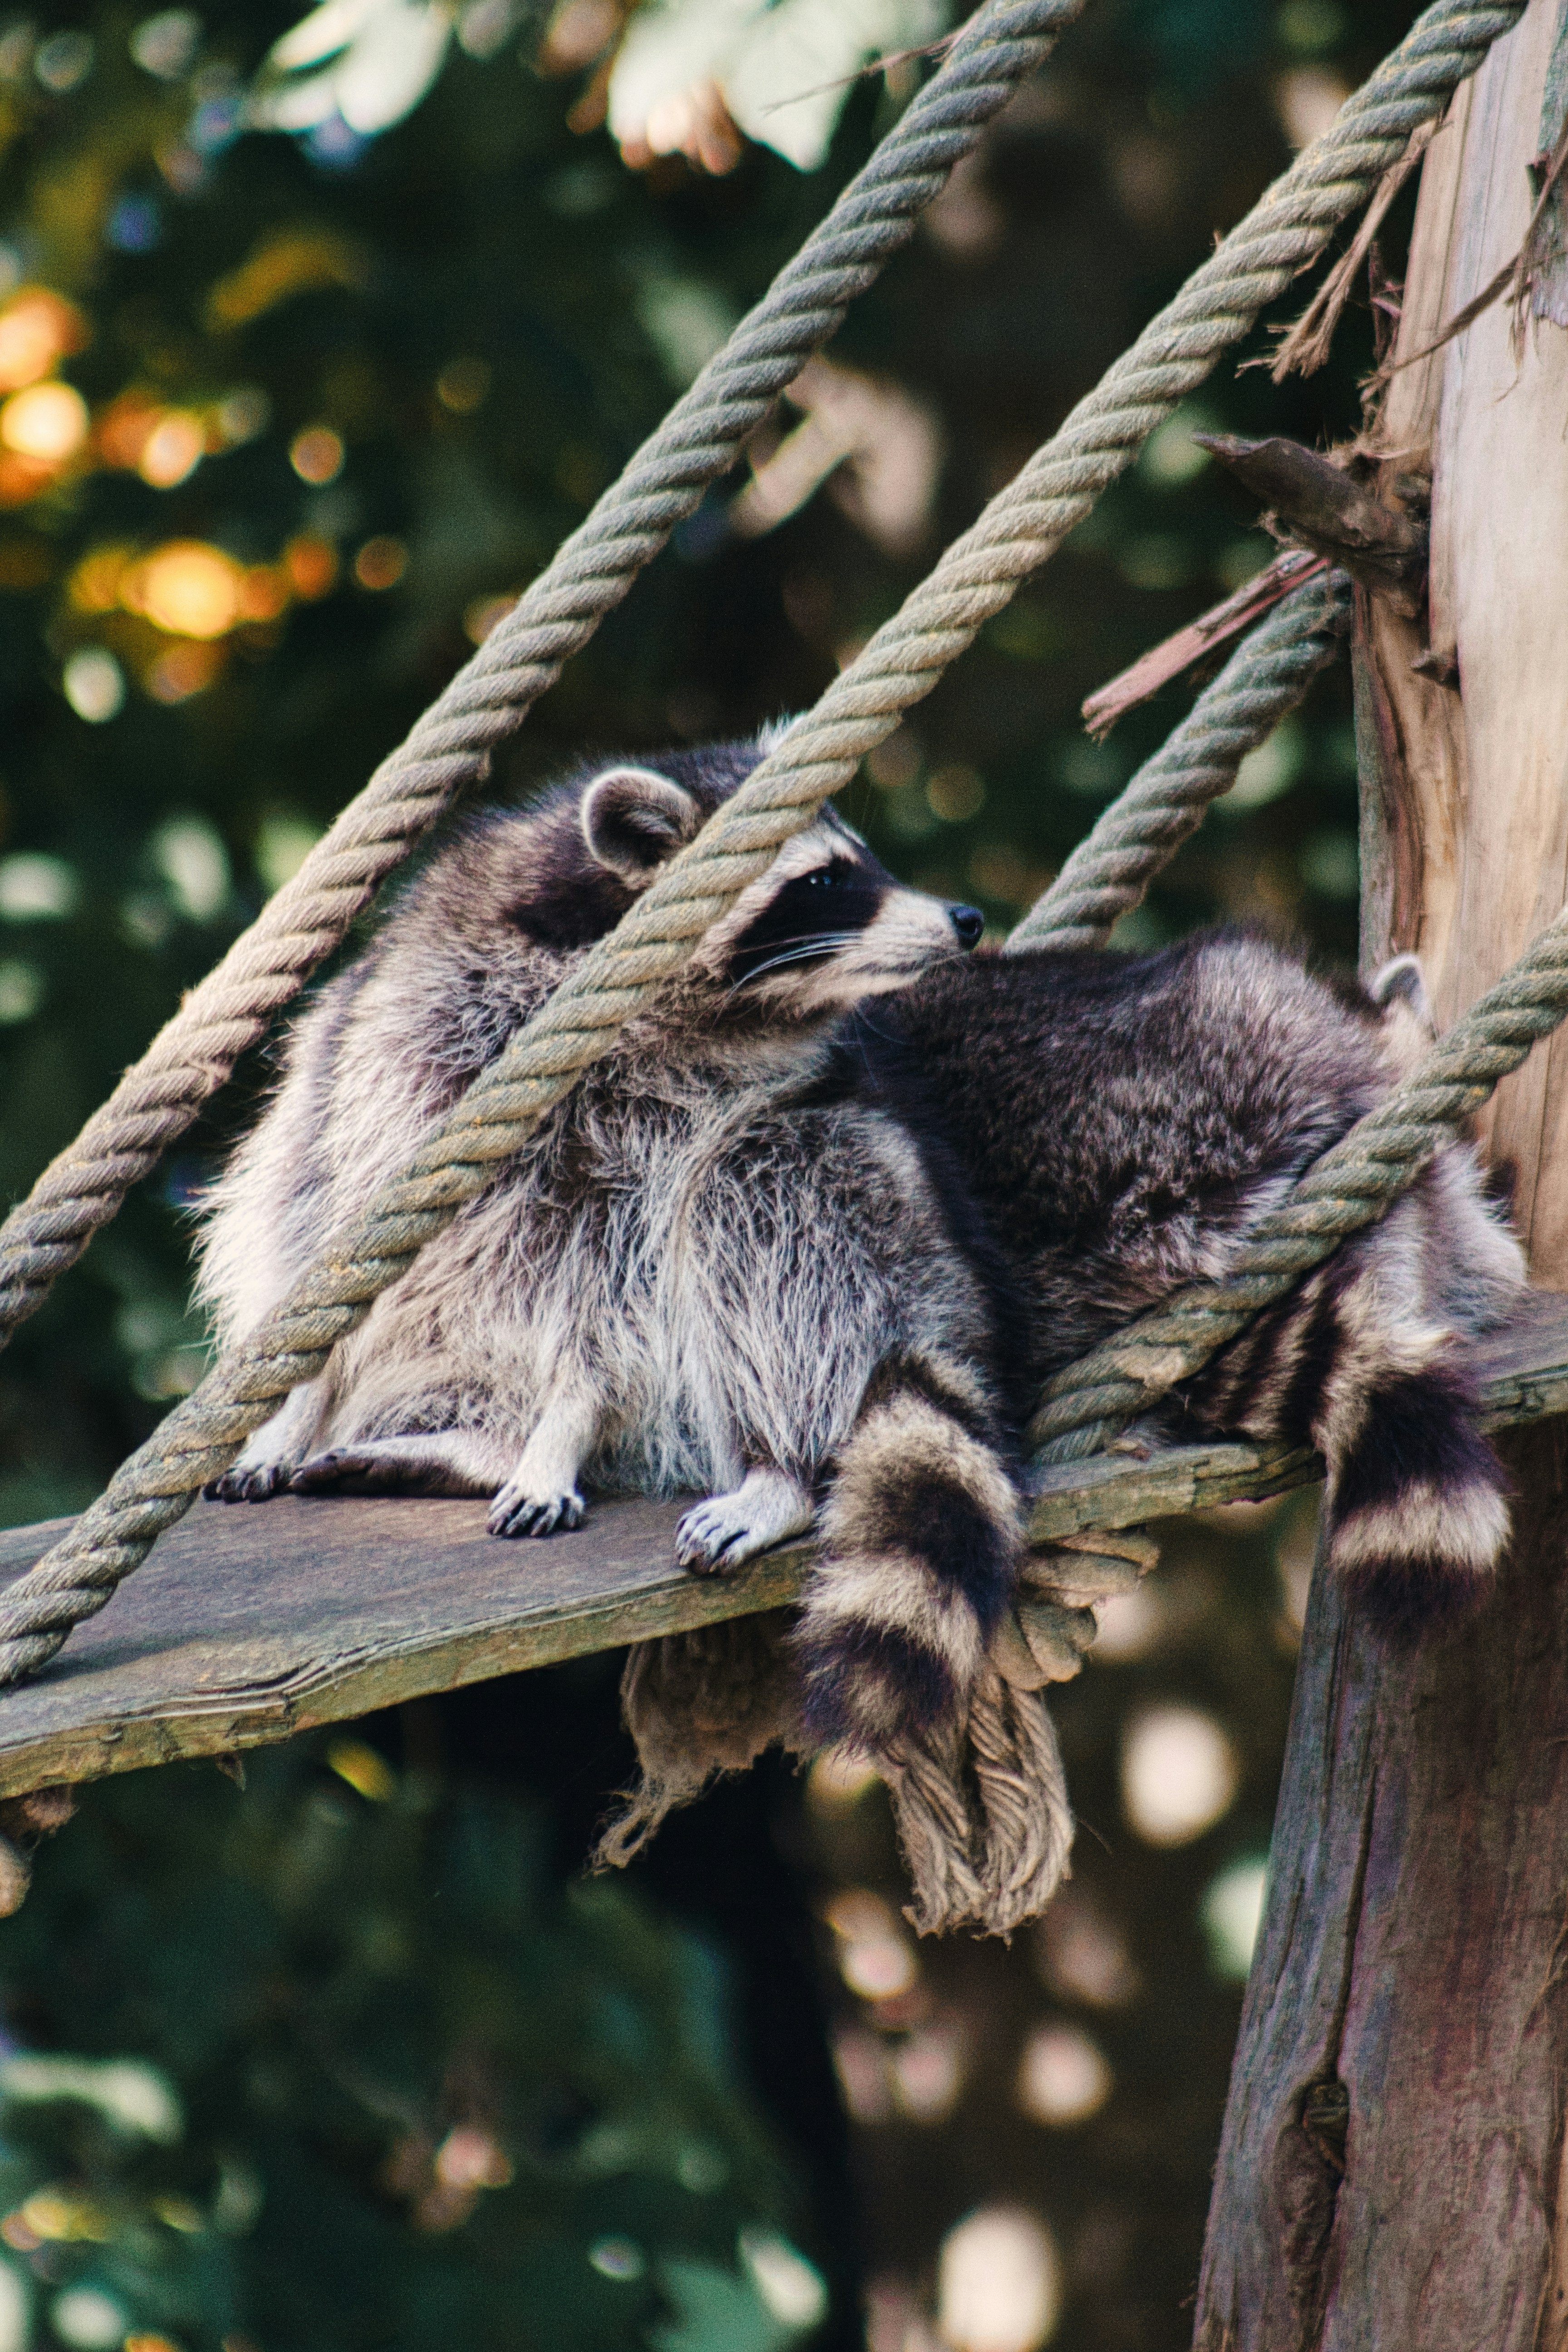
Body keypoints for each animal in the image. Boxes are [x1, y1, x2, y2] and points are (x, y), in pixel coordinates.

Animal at [197, 741, 1023, 1763]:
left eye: (855, 863)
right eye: (825, 880)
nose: (966, 919)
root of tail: (959, 1304)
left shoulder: (667, 1131)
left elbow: (614, 1300)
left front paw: (565, 1425)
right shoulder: (399, 1039)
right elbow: (321, 1230)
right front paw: (289, 1408)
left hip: (885, 1221)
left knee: (760, 1192)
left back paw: (774, 1470)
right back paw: (472, 1441)